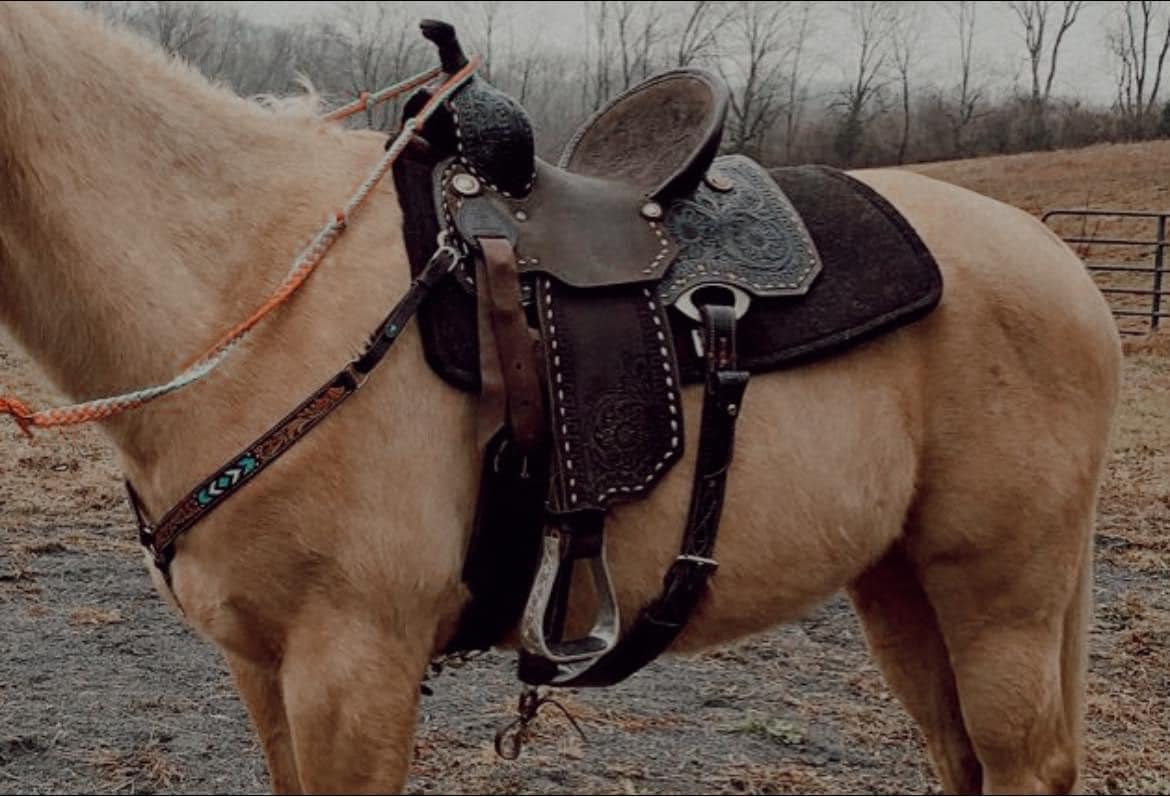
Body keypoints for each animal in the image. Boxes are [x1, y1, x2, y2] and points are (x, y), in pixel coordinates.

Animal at [0, 3, 1122, 794]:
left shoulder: (353, 663)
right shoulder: (260, 663)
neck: (251, 280)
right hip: (900, 583)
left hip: (1001, 595)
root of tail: (1061, 263)